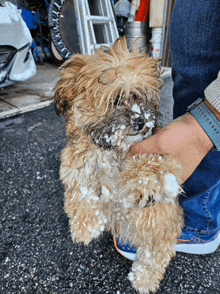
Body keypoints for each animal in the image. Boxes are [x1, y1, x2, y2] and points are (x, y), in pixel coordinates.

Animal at [54, 37, 184, 294]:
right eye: (115, 99)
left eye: (141, 97)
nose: (141, 122)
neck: (109, 149)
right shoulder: (75, 166)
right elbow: (80, 193)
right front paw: (85, 227)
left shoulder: (152, 151)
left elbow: (152, 163)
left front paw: (147, 182)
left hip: (158, 222)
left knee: (156, 251)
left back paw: (144, 279)